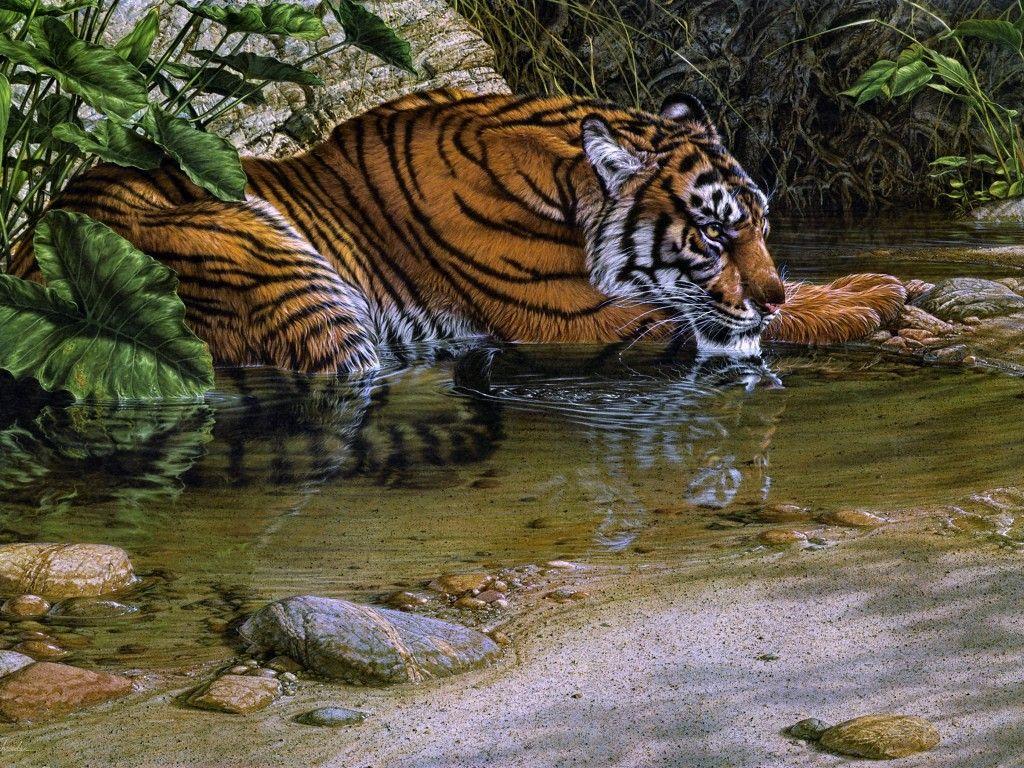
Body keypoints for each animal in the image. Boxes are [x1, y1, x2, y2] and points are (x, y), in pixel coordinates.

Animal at [9, 88, 906, 372]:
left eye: (764, 229)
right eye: (716, 239)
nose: (770, 289)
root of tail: (33, 262)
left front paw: (875, 282)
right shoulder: (584, 321)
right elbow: (734, 322)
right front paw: (866, 298)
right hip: (276, 266)